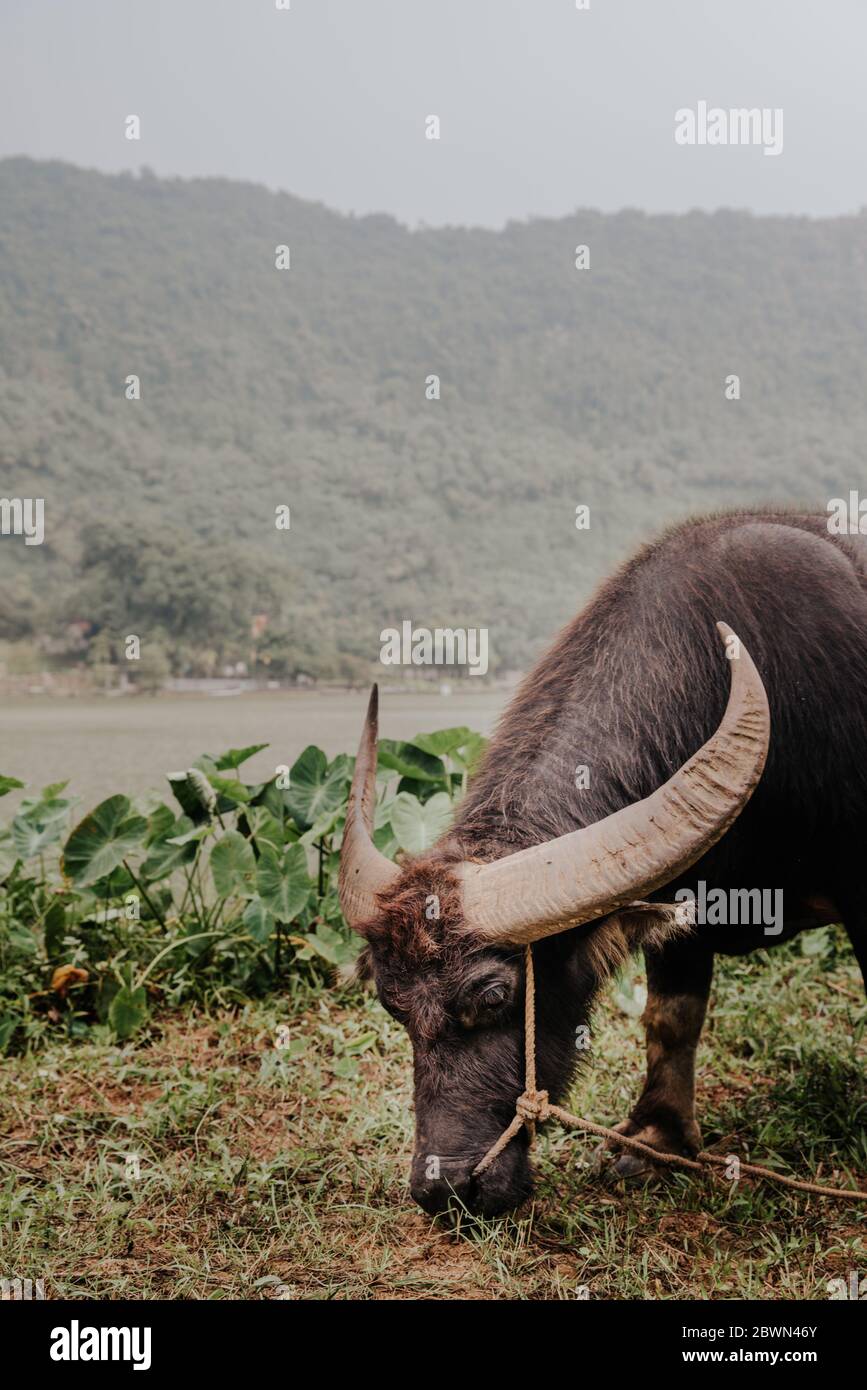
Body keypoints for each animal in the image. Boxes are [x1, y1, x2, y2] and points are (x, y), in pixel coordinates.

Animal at [338, 510, 867, 1216]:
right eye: (392, 1006)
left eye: (495, 995)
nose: (443, 1188)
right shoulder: (684, 895)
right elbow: (670, 1017)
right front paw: (656, 1139)